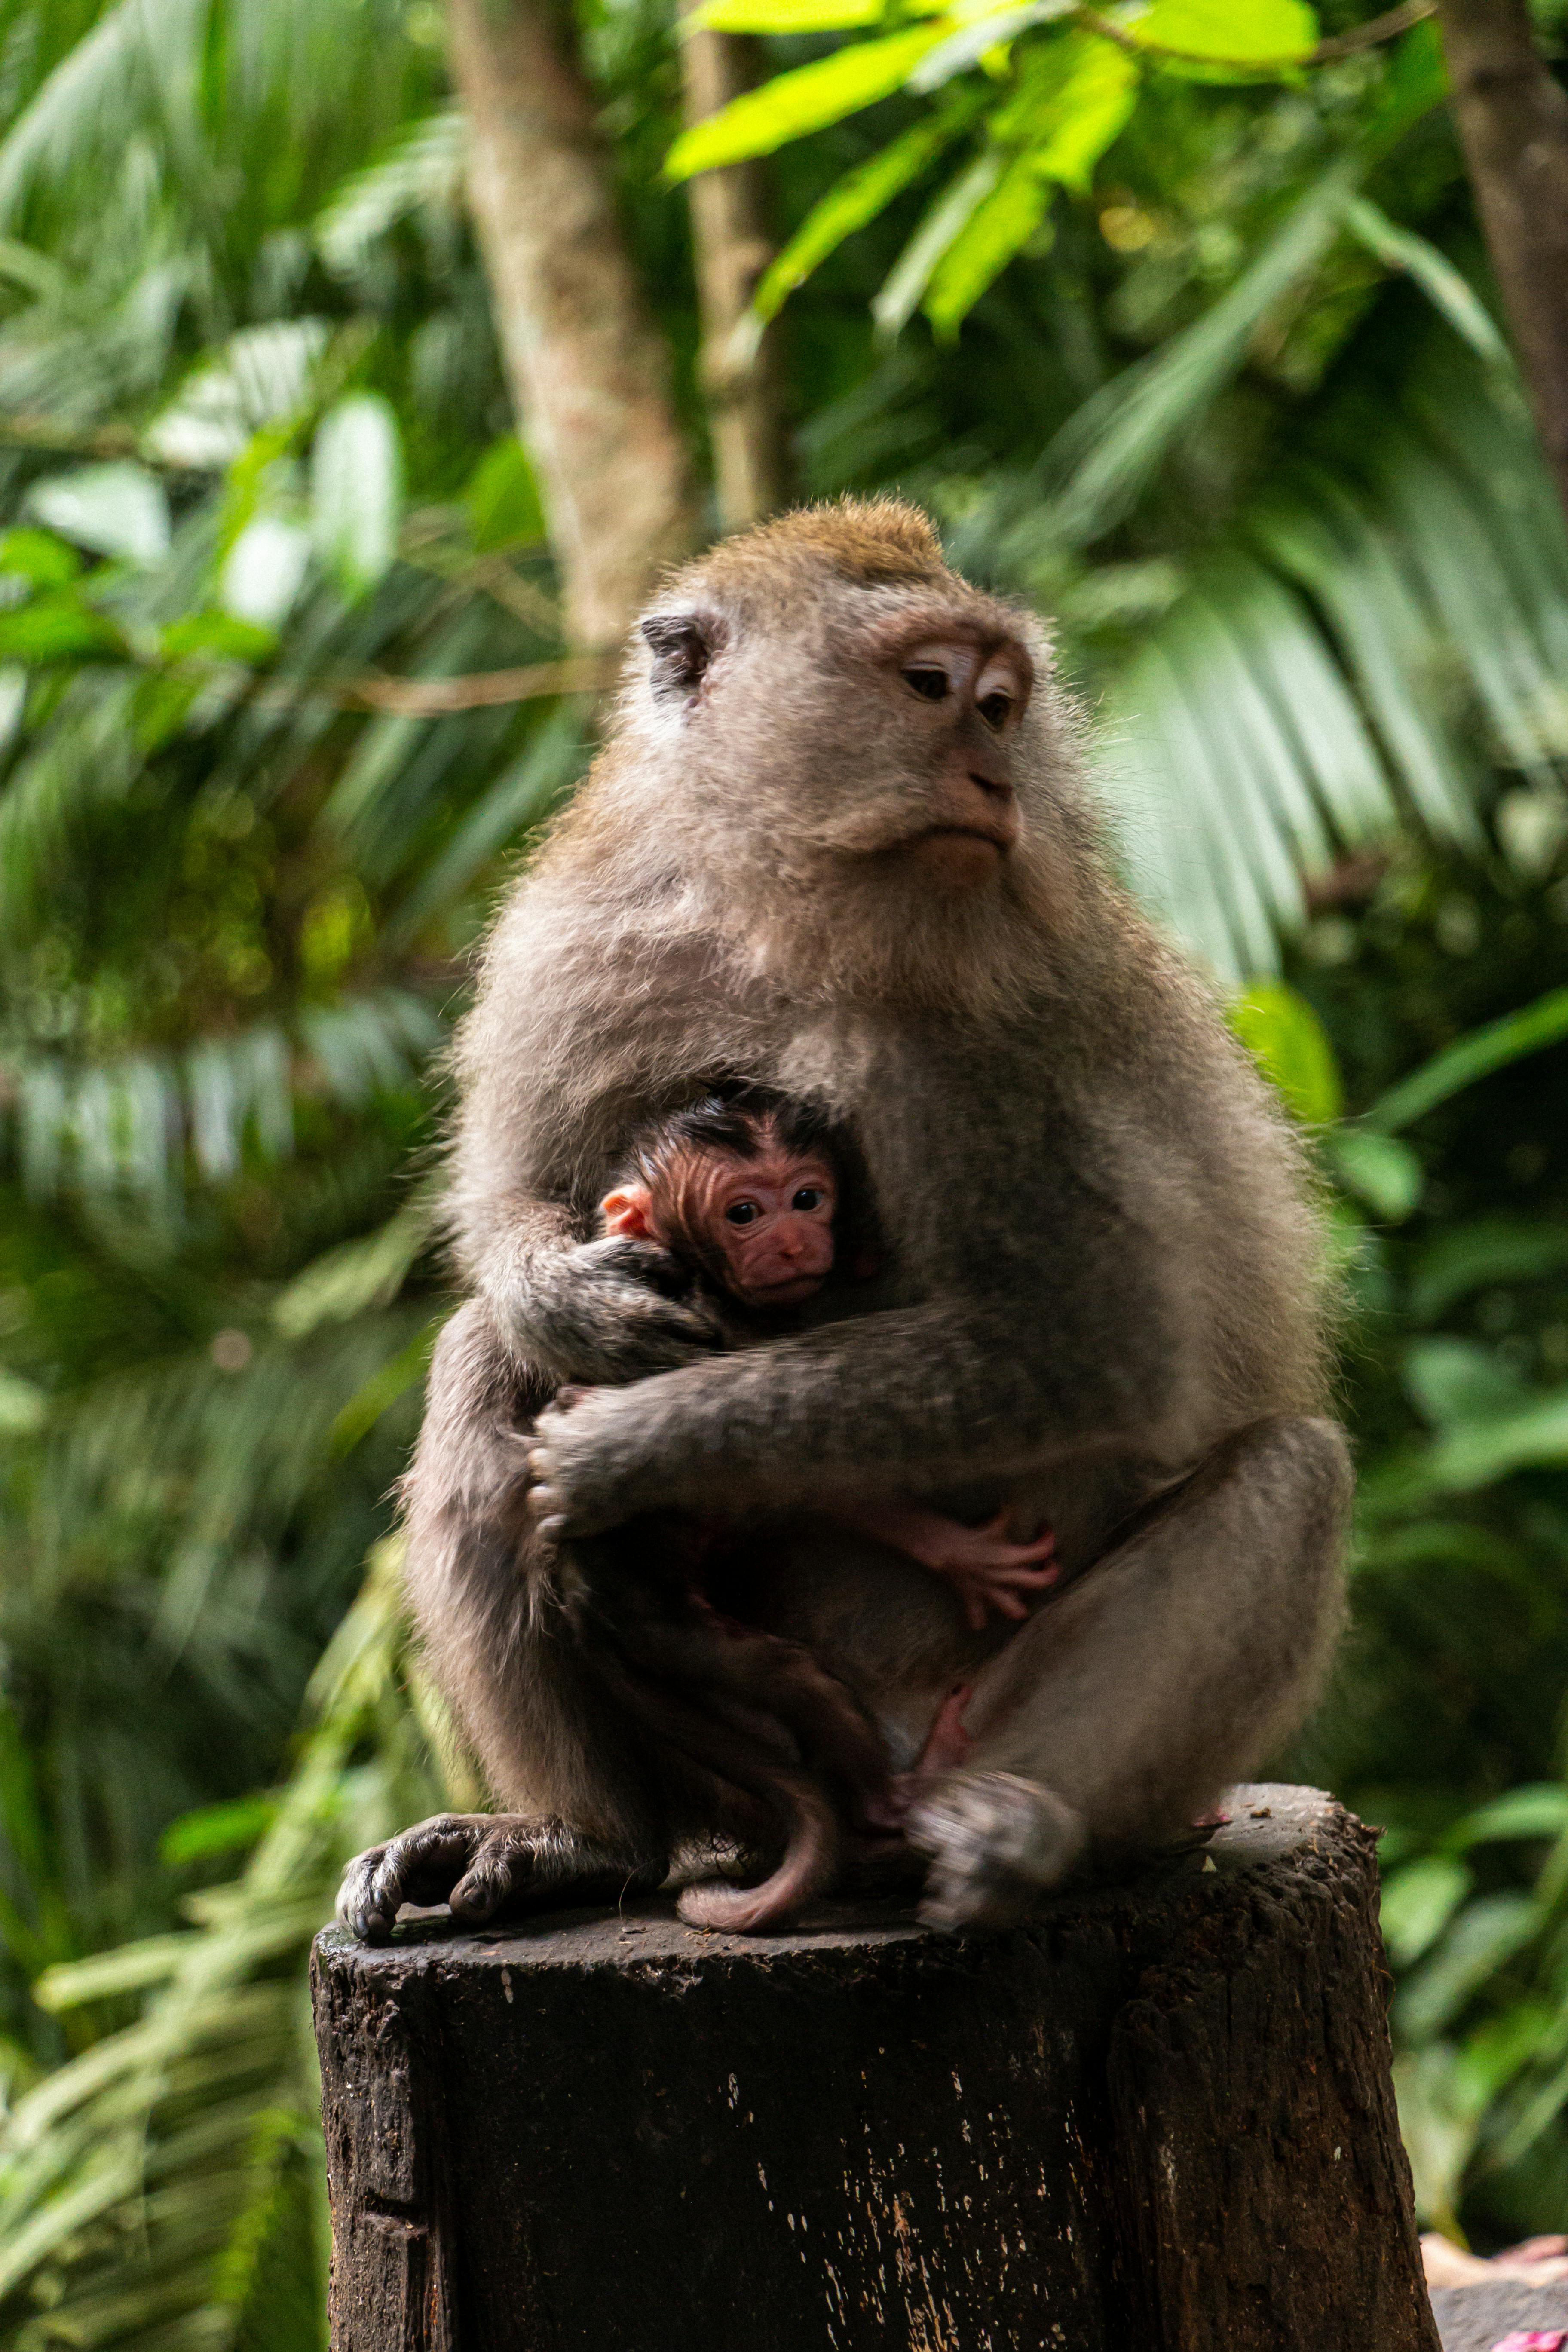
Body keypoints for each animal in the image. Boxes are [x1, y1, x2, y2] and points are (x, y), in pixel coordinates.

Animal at [338, 496, 1349, 1947]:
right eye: (931, 688)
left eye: (1003, 705)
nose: (994, 775)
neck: (783, 898)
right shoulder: (581, 931)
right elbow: (510, 1196)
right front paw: (564, 1296)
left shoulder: (994, 1045)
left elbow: (1089, 1349)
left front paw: (637, 1446)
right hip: (732, 1751)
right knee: (478, 1362)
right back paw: (583, 1839)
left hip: (1000, 1718)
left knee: (1292, 1479)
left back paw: (1016, 1827)